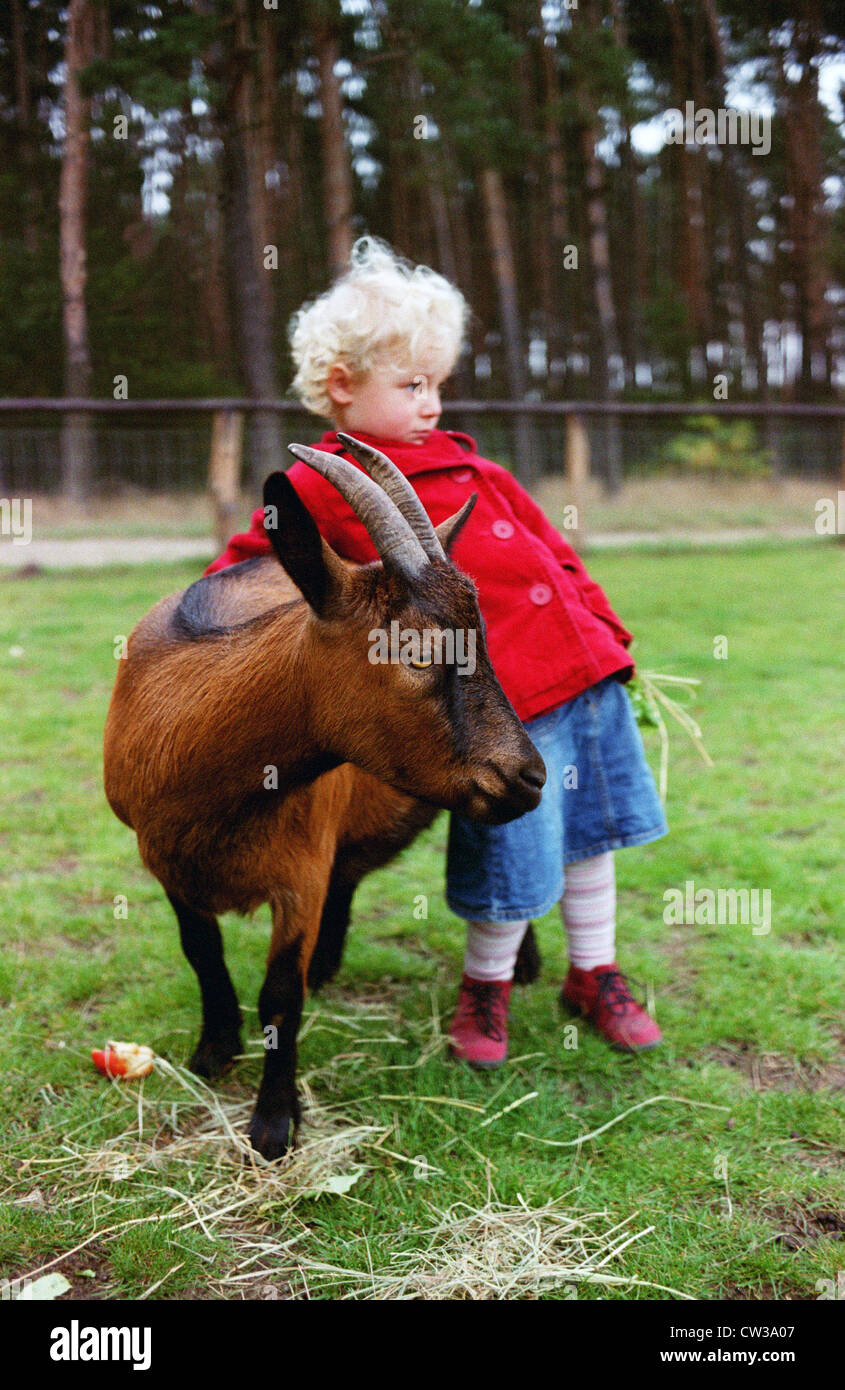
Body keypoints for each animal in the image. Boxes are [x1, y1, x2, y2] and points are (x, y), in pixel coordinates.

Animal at [104, 435, 546, 1161]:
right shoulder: (163, 857)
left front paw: (273, 1126)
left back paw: (526, 964)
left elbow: (281, 994)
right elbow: (203, 953)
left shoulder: (299, 870)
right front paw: (213, 1052)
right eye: (414, 653)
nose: (530, 776)